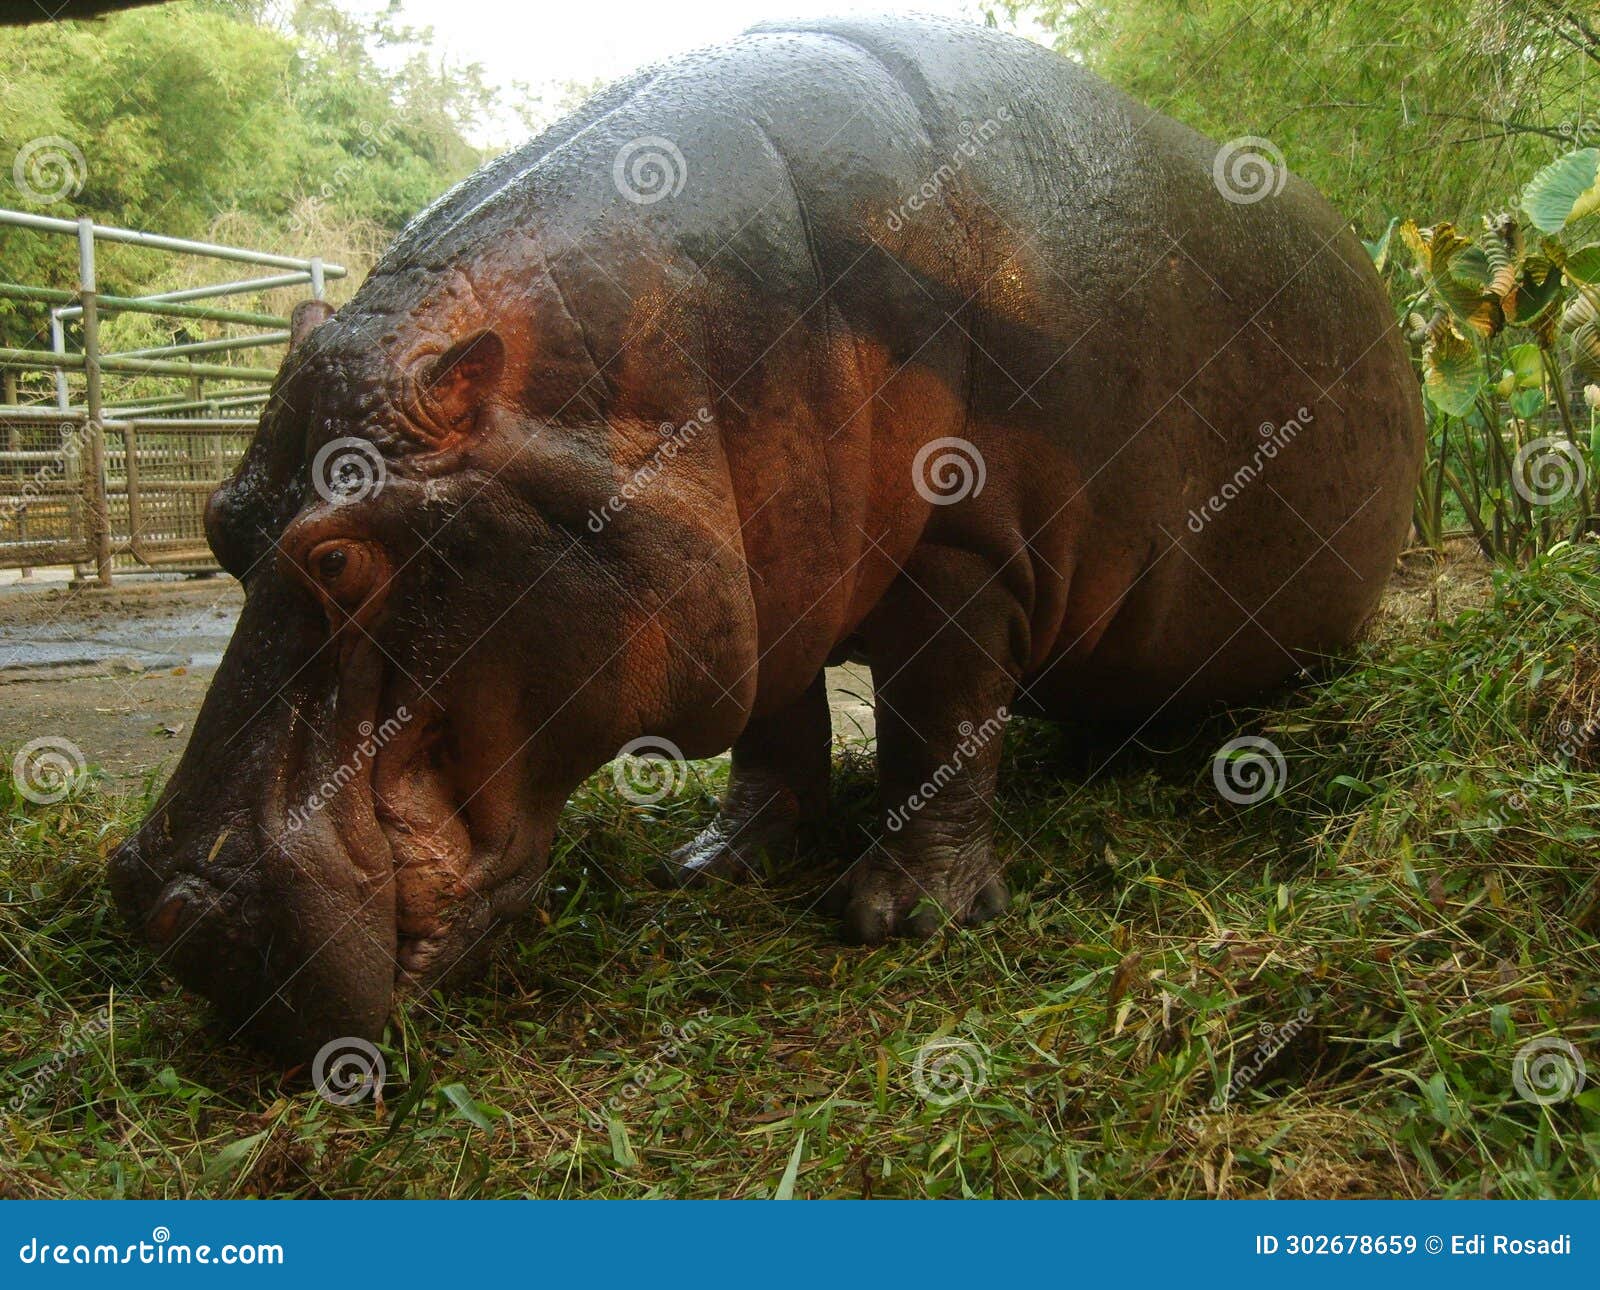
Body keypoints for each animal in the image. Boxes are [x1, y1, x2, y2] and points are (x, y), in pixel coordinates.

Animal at [109, 15, 1423, 1061]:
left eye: (338, 557)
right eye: (219, 524)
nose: (171, 913)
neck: (643, 380)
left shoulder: (962, 552)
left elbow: (935, 720)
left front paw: (903, 920)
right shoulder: (765, 566)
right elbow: (775, 724)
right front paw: (713, 864)